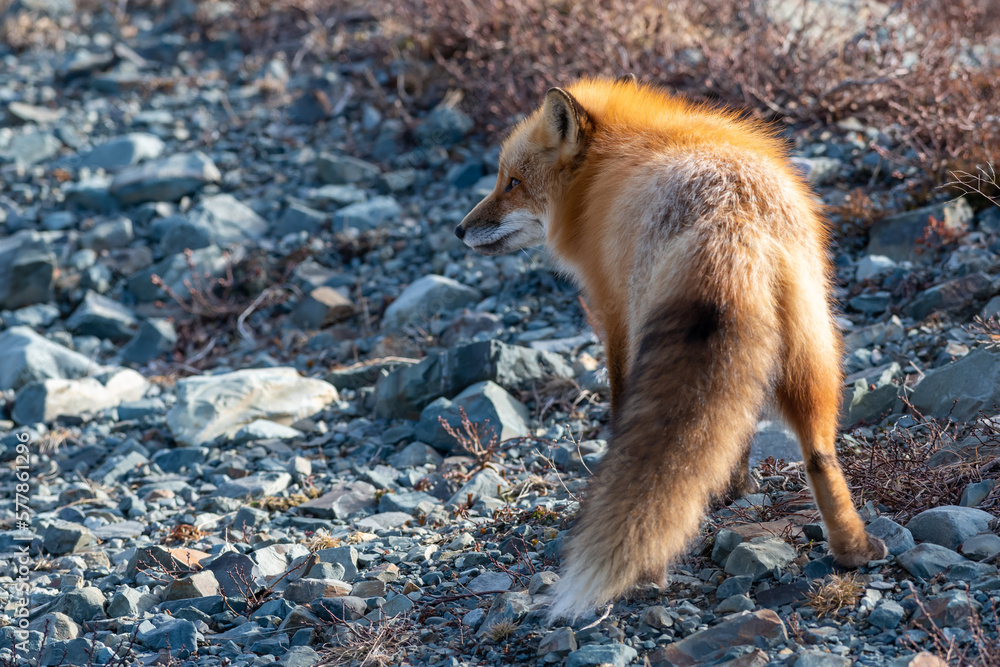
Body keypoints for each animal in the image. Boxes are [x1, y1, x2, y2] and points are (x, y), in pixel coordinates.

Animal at [455, 75, 888, 620]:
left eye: (511, 182)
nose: (459, 229)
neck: (605, 171)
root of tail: (734, 220)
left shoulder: (614, 311)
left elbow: (620, 401)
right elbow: (737, 435)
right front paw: (734, 488)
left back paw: (646, 574)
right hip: (815, 356)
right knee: (819, 454)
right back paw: (852, 549)